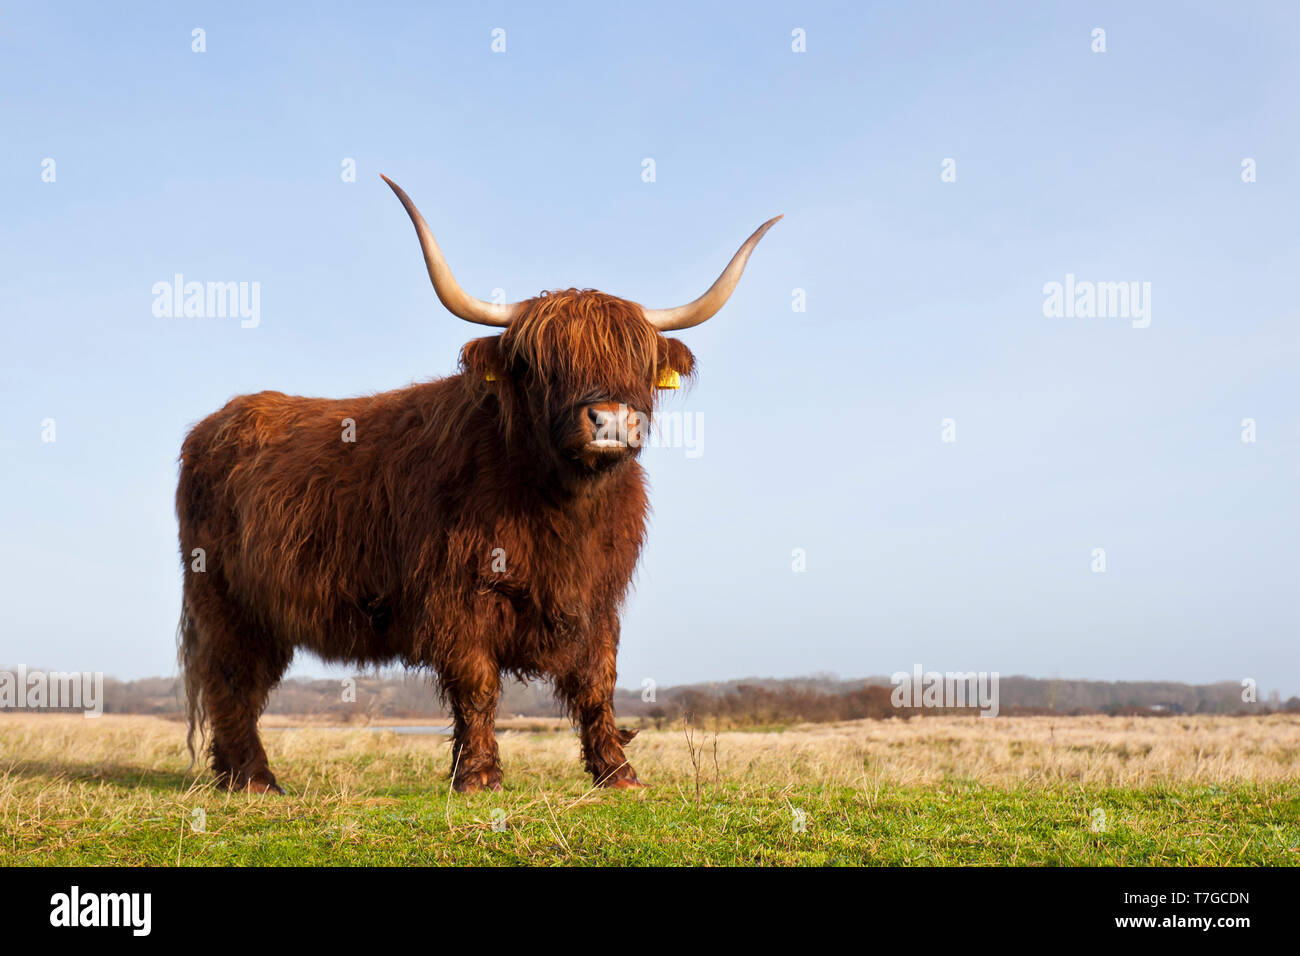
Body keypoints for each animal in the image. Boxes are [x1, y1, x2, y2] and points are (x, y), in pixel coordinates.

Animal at [176, 176, 779, 794]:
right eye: (540, 363)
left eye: (639, 361)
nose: (611, 420)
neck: (560, 505)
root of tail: (215, 423)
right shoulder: (460, 592)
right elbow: (477, 681)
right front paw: (479, 775)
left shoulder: (598, 598)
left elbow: (597, 681)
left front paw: (618, 773)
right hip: (223, 599)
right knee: (232, 682)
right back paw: (254, 778)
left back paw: (234, 774)